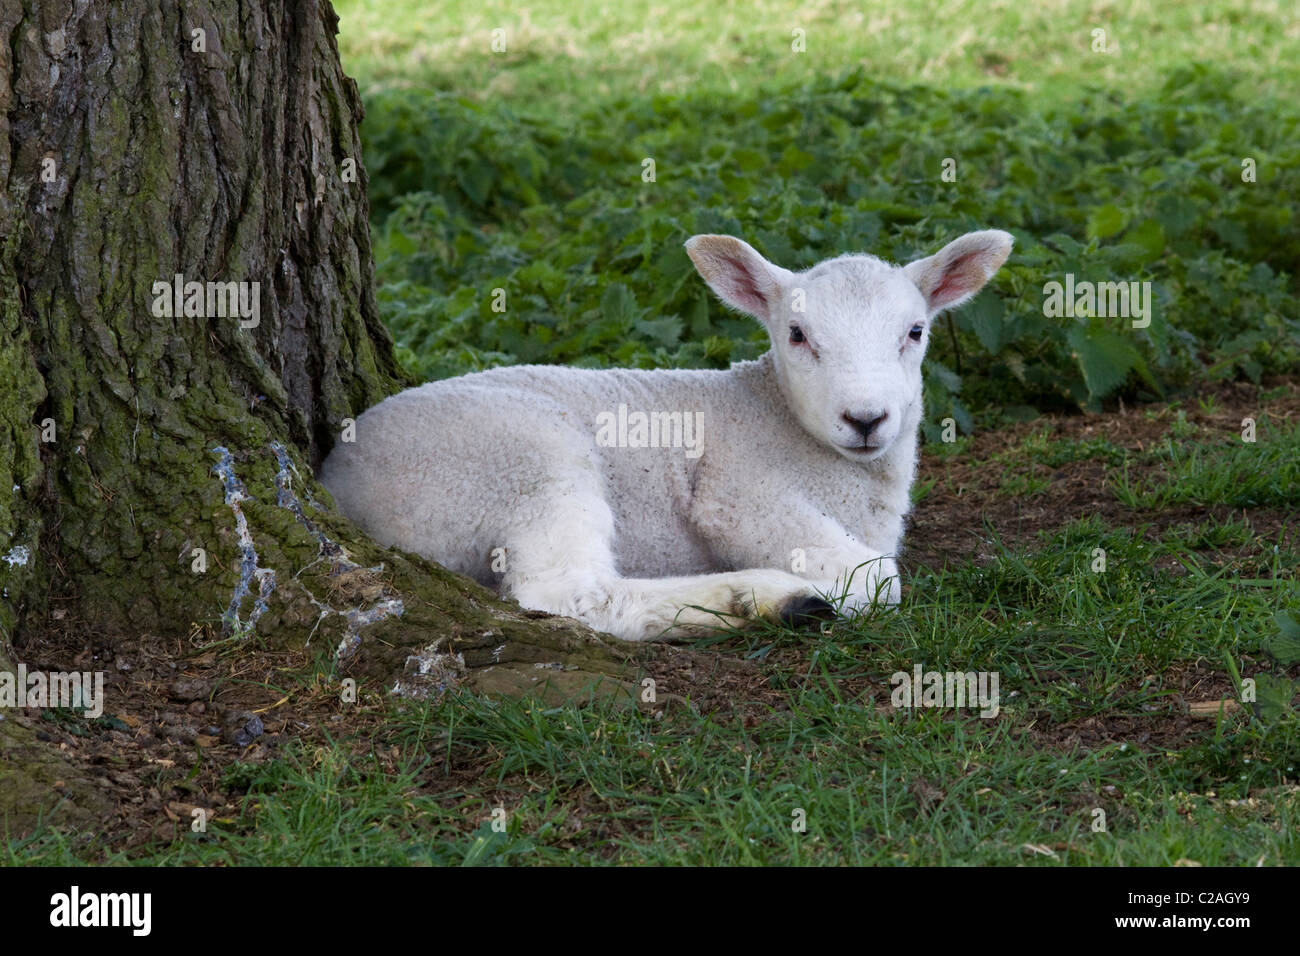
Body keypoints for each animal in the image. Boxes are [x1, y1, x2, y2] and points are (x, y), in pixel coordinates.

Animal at [319, 230, 1013, 642]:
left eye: (916, 332)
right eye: (796, 335)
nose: (866, 418)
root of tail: (336, 478)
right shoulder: (738, 493)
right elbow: (877, 578)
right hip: (524, 458)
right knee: (571, 595)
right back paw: (766, 598)